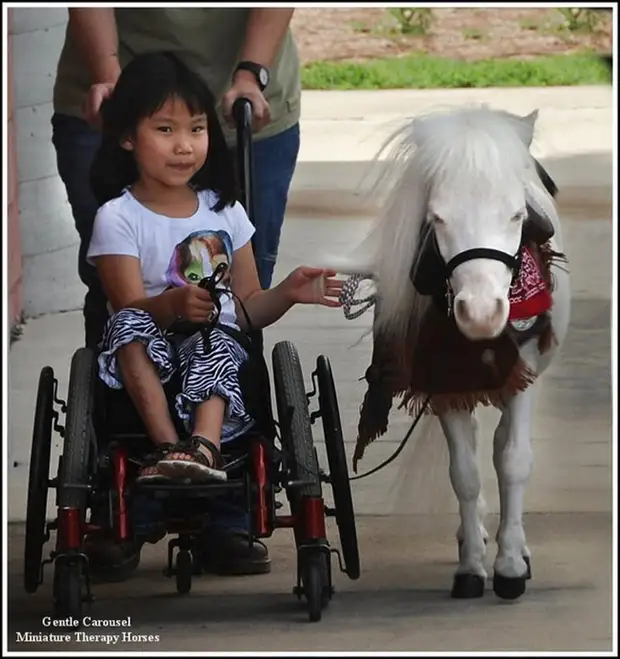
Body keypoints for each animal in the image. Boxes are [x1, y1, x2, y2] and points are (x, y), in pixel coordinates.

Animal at [330, 105, 572, 600]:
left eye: (517, 215)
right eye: (438, 219)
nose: (480, 313)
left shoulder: (525, 376)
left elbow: (513, 462)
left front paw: (509, 565)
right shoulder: (444, 386)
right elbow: (465, 473)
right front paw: (472, 567)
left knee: (502, 446)